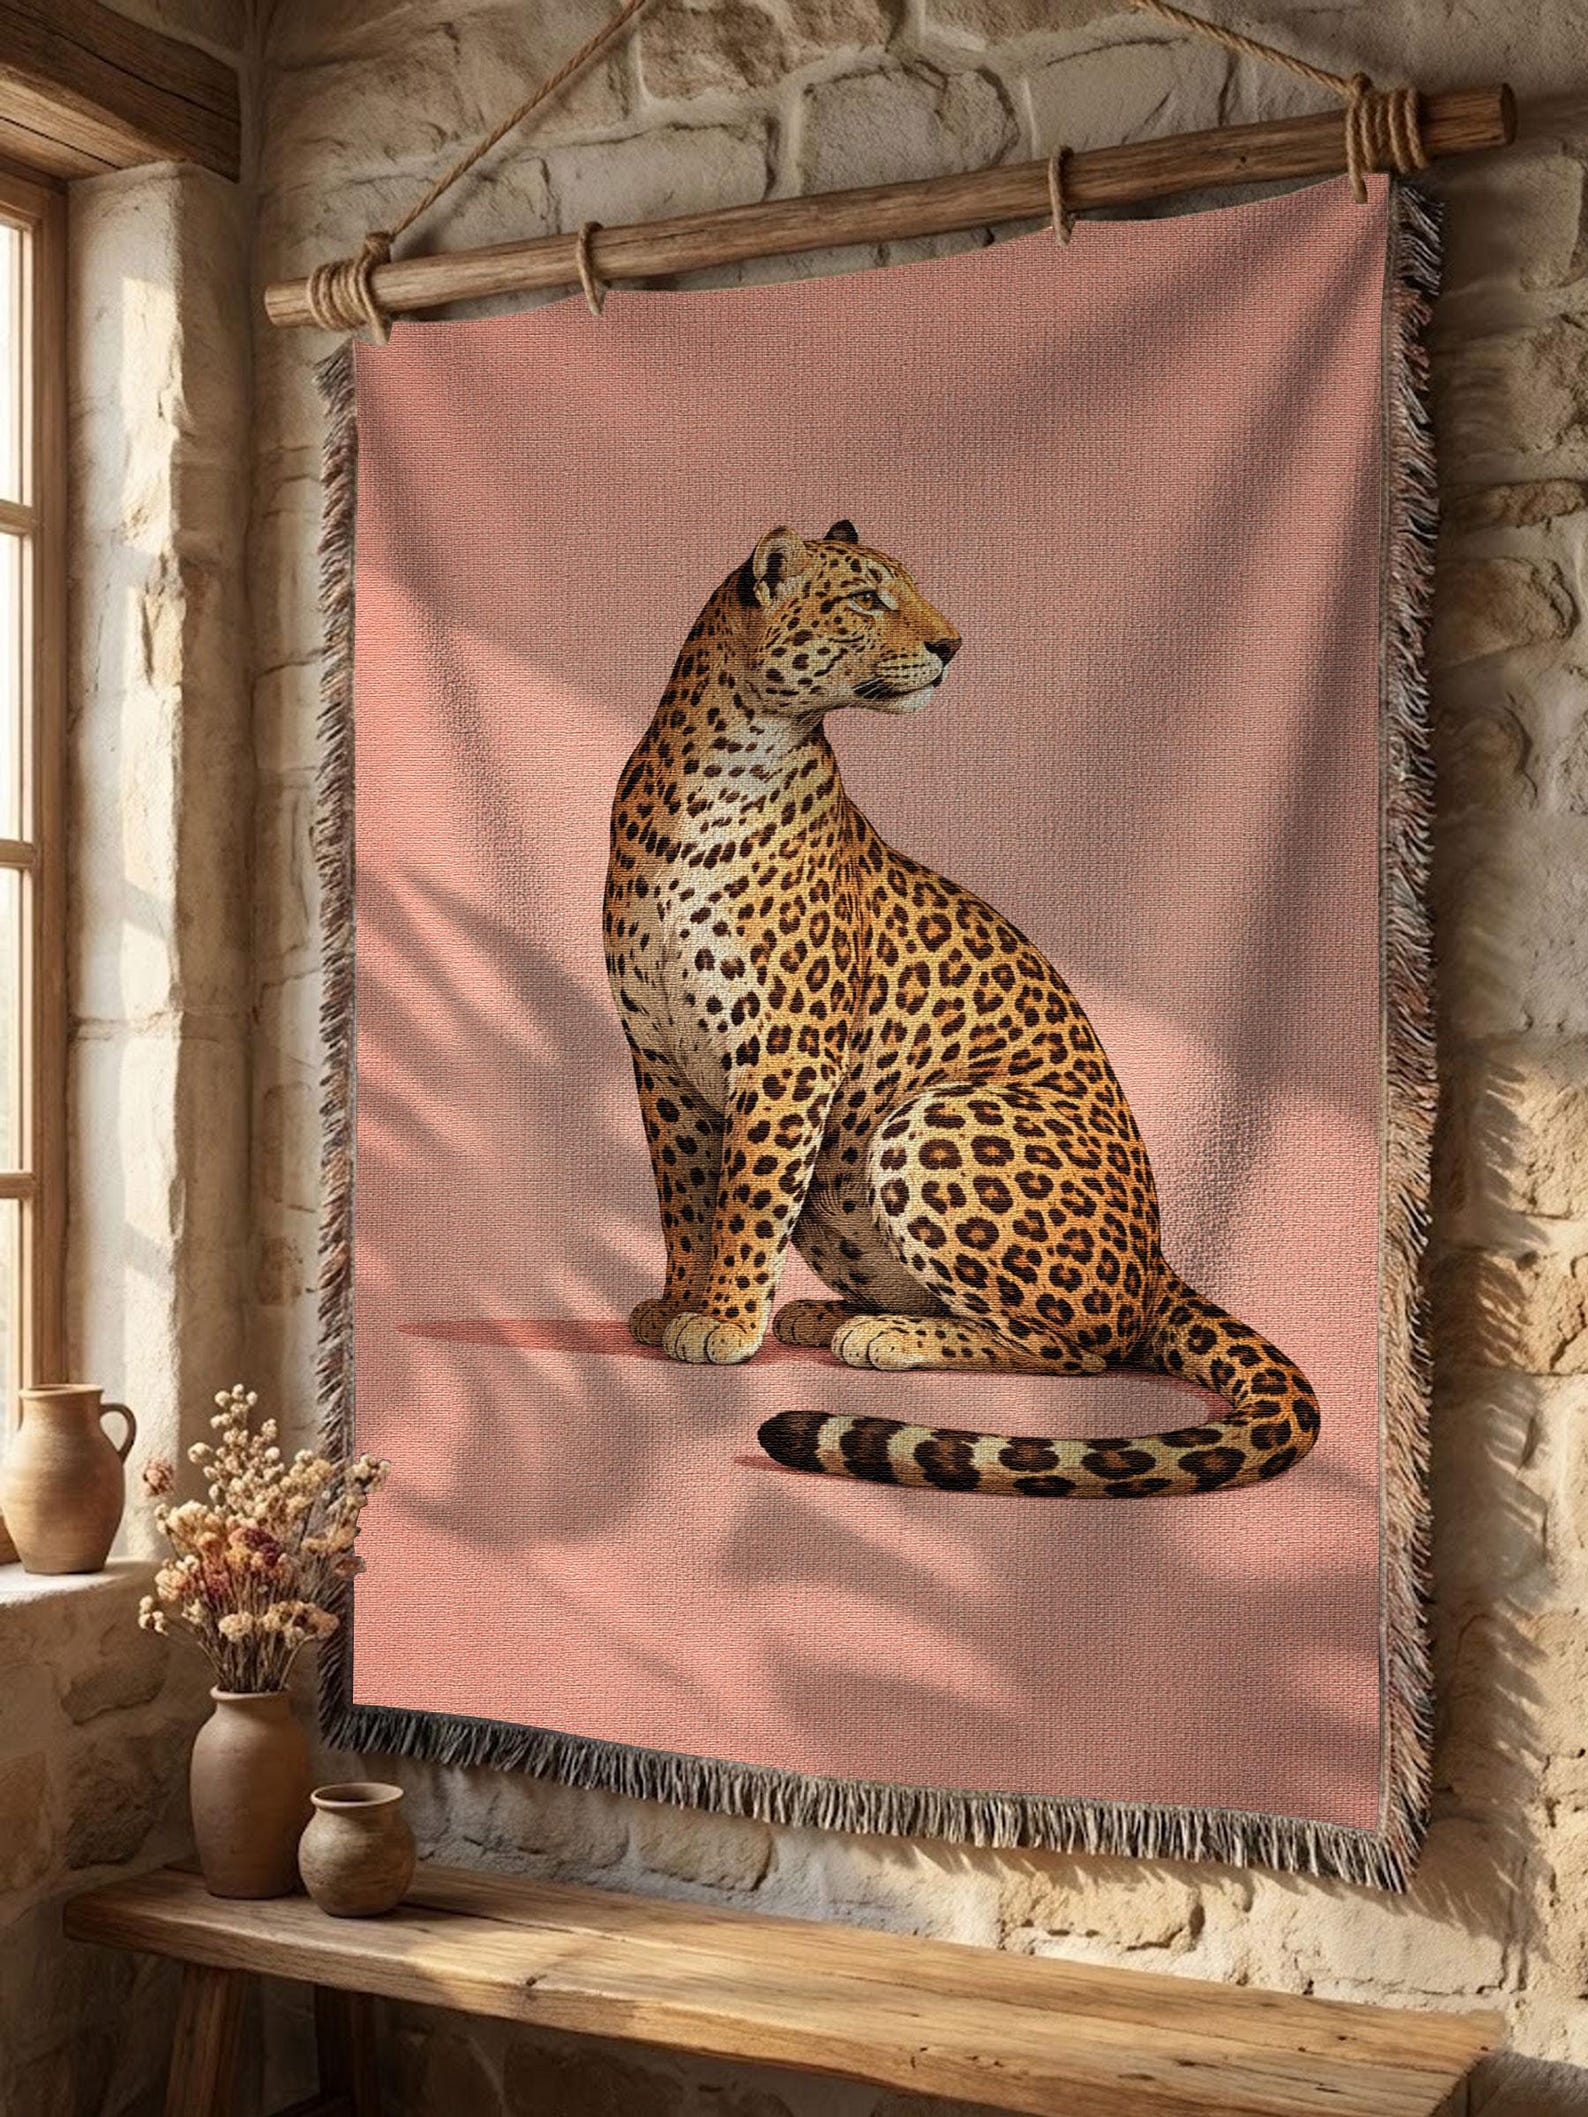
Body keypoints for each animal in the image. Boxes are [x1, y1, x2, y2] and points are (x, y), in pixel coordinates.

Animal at [601, 520, 1320, 1498]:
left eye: (909, 588)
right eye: (867, 597)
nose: (953, 645)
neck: (719, 766)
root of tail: (1160, 1265)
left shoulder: (787, 1054)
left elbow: (748, 1195)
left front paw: (722, 1319)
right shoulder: (660, 1059)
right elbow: (686, 1193)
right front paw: (683, 1299)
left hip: (930, 1116)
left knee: (1086, 1351)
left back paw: (880, 1334)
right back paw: (827, 1315)